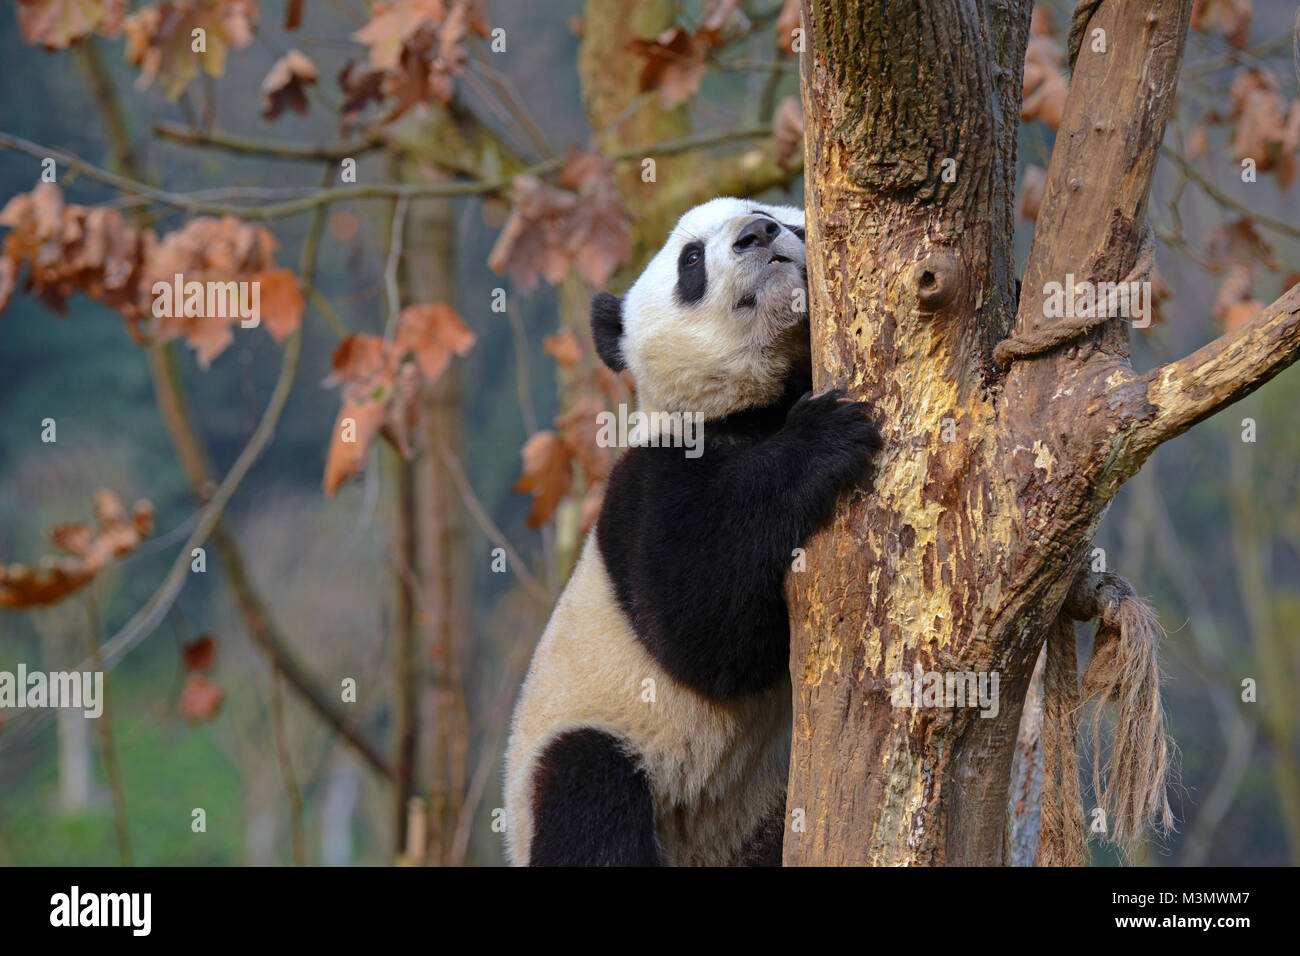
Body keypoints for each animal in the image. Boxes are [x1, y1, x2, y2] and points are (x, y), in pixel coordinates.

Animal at [503, 197, 882, 866]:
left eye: (782, 217)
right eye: (691, 261)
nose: (758, 234)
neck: (755, 406)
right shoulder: (646, 486)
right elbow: (702, 624)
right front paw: (825, 435)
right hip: (588, 752)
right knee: (587, 789)